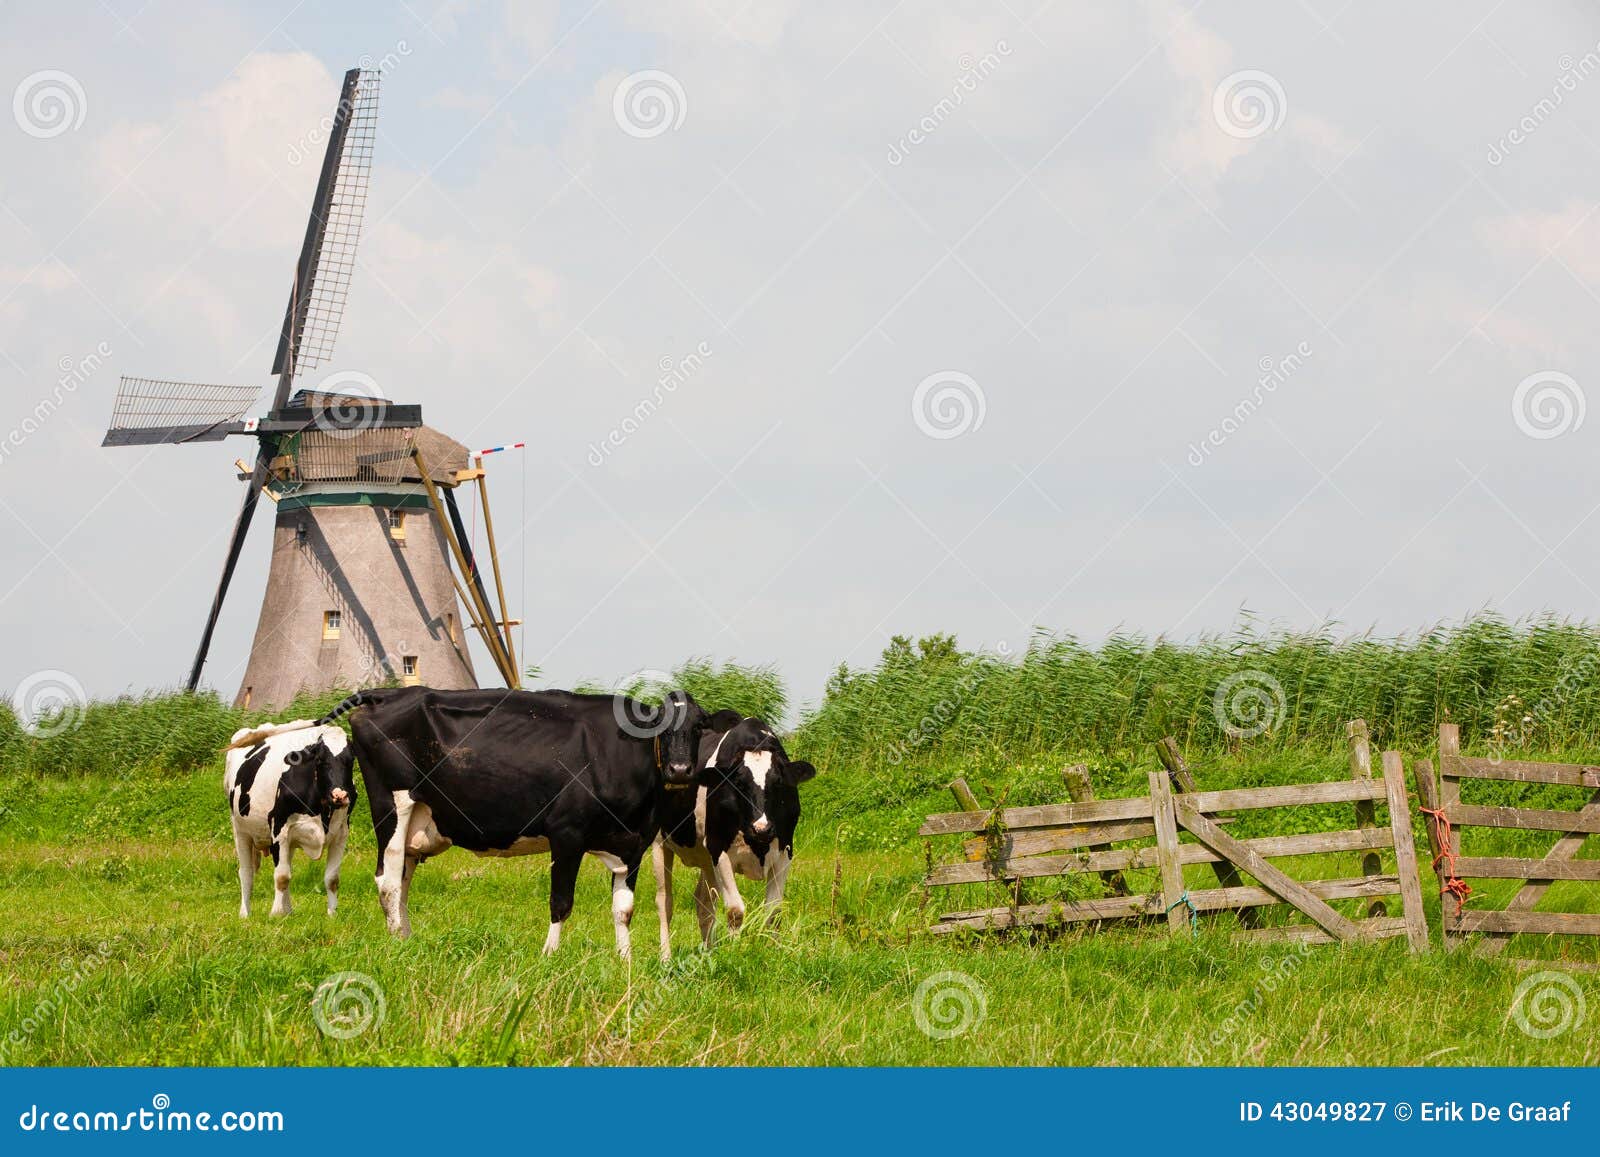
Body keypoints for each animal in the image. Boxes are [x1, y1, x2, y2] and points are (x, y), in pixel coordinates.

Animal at [223, 720, 357, 918]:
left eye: (351, 760)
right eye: (320, 760)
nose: (339, 795)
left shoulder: (341, 834)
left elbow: (332, 879)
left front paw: (332, 914)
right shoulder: (280, 829)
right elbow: (281, 877)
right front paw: (276, 913)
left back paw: (288, 911)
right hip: (240, 830)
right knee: (246, 873)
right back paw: (245, 913)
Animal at [310, 686, 739, 956]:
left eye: (699, 727)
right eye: (661, 727)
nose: (681, 769)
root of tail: (389, 693)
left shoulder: (633, 844)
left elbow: (624, 909)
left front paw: (625, 960)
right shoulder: (567, 834)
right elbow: (561, 902)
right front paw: (549, 954)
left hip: (418, 818)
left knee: (402, 881)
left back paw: (409, 939)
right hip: (393, 807)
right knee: (387, 881)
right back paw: (397, 942)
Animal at [653, 716, 817, 959]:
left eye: (778, 782)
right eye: (738, 783)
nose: (762, 828)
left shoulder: (786, 850)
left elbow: (773, 910)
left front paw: (773, 952)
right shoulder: (718, 849)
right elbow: (735, 910)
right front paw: (734, 953)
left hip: (705, 858)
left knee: (704, 902)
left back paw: (708, 951)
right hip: (660, 844)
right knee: (665, 902)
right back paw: (666, 958)